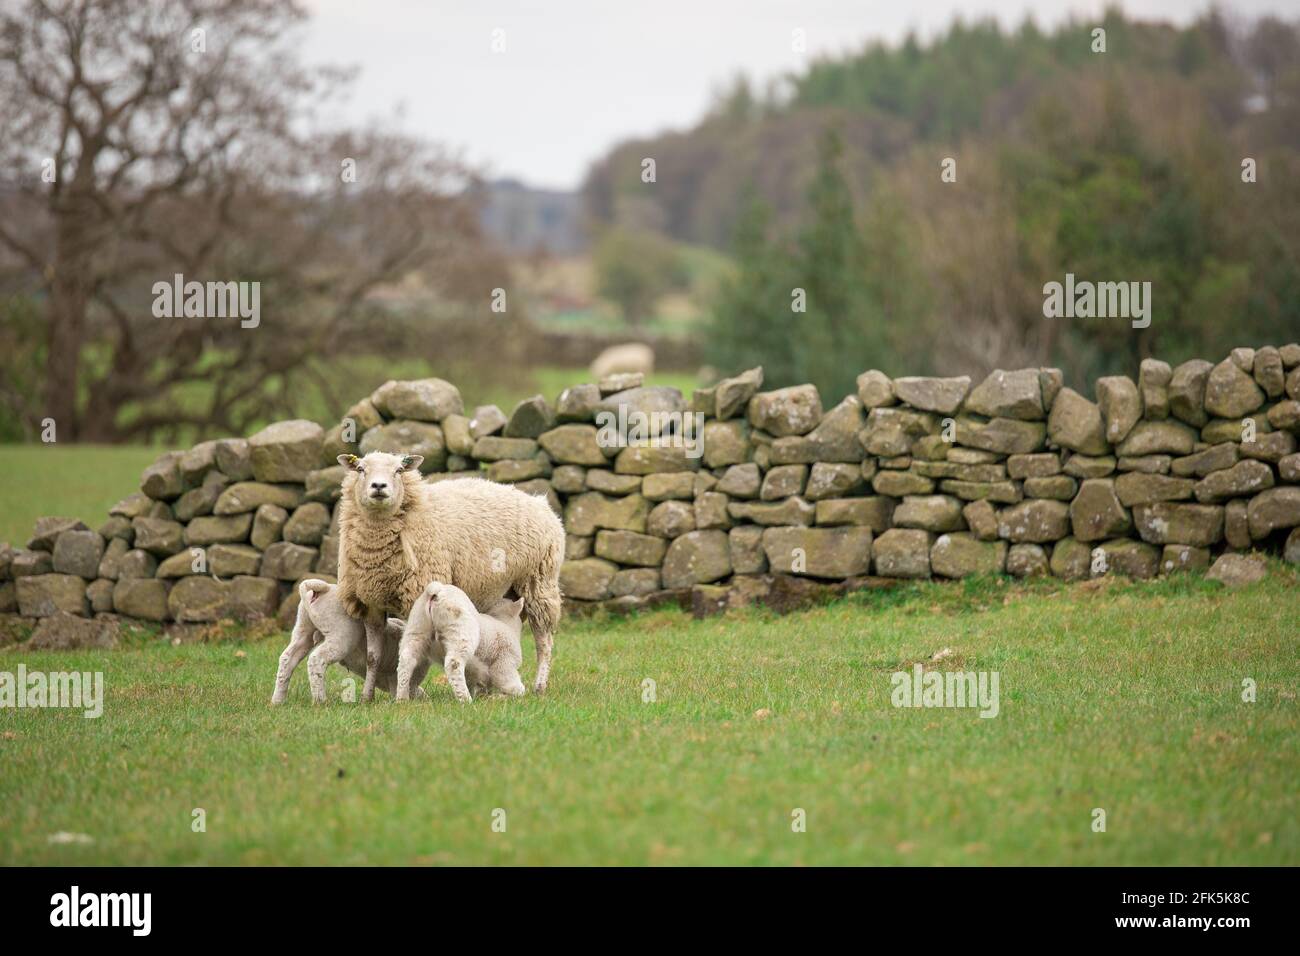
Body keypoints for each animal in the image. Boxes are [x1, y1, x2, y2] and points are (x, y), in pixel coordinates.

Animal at [270, 578, 427, 704]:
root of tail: (325, 589)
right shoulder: (399, 680)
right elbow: (413, 690)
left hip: (303, 630)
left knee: (287, 659)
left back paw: (278, 700)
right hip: (341, 636)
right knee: (316, 659)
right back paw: (321, 701)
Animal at [396, 581, 526, 702]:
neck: (503, 622)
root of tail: (437, 590)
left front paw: (484, 696)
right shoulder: (505, 661)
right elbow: (514, 687)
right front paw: (500, 697)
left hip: (417, 626)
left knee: (407, 659)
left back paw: (402, 698)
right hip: (459, 630)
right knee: (453, 663)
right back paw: (465, 699)